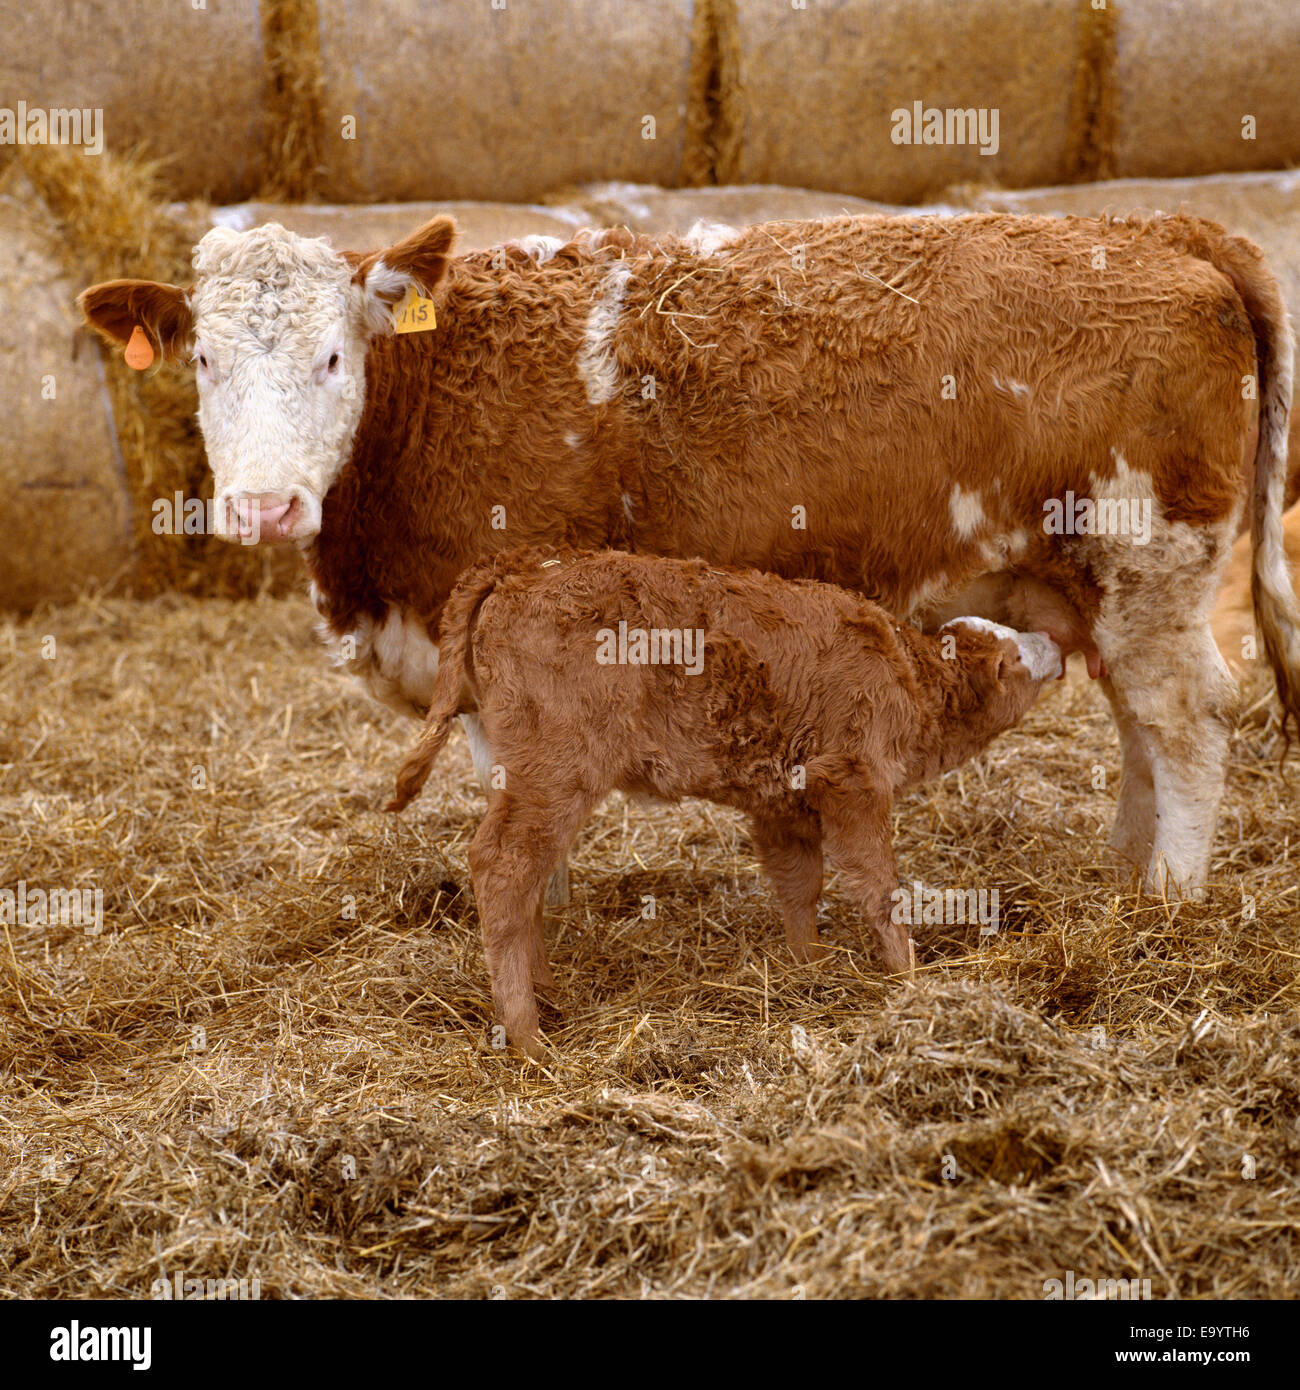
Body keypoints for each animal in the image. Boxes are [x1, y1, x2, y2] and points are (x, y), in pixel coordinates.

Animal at [78, 209, 1300, 898]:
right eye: (203, 364)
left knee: (1185, 718)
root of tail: (1164, 229)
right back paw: (1125, 872)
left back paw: (1168, 897)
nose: (265, 506)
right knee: (1140, 721)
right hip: (1095, 583)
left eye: (333, 356)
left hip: (1148, 562)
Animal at [386, 546, 1064, 1057]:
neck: (908, 674)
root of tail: (518, 570)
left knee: (527, 876)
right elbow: (878, 889)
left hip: (521, 774)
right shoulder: (852, 778)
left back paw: (550, 996)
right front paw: (911, 981)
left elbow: (800, 885)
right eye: (1013, 656)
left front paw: (809, 967)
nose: (1054, 643)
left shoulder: (782, 800)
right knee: (501, 868)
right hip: (555, 771)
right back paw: (528, 1037)